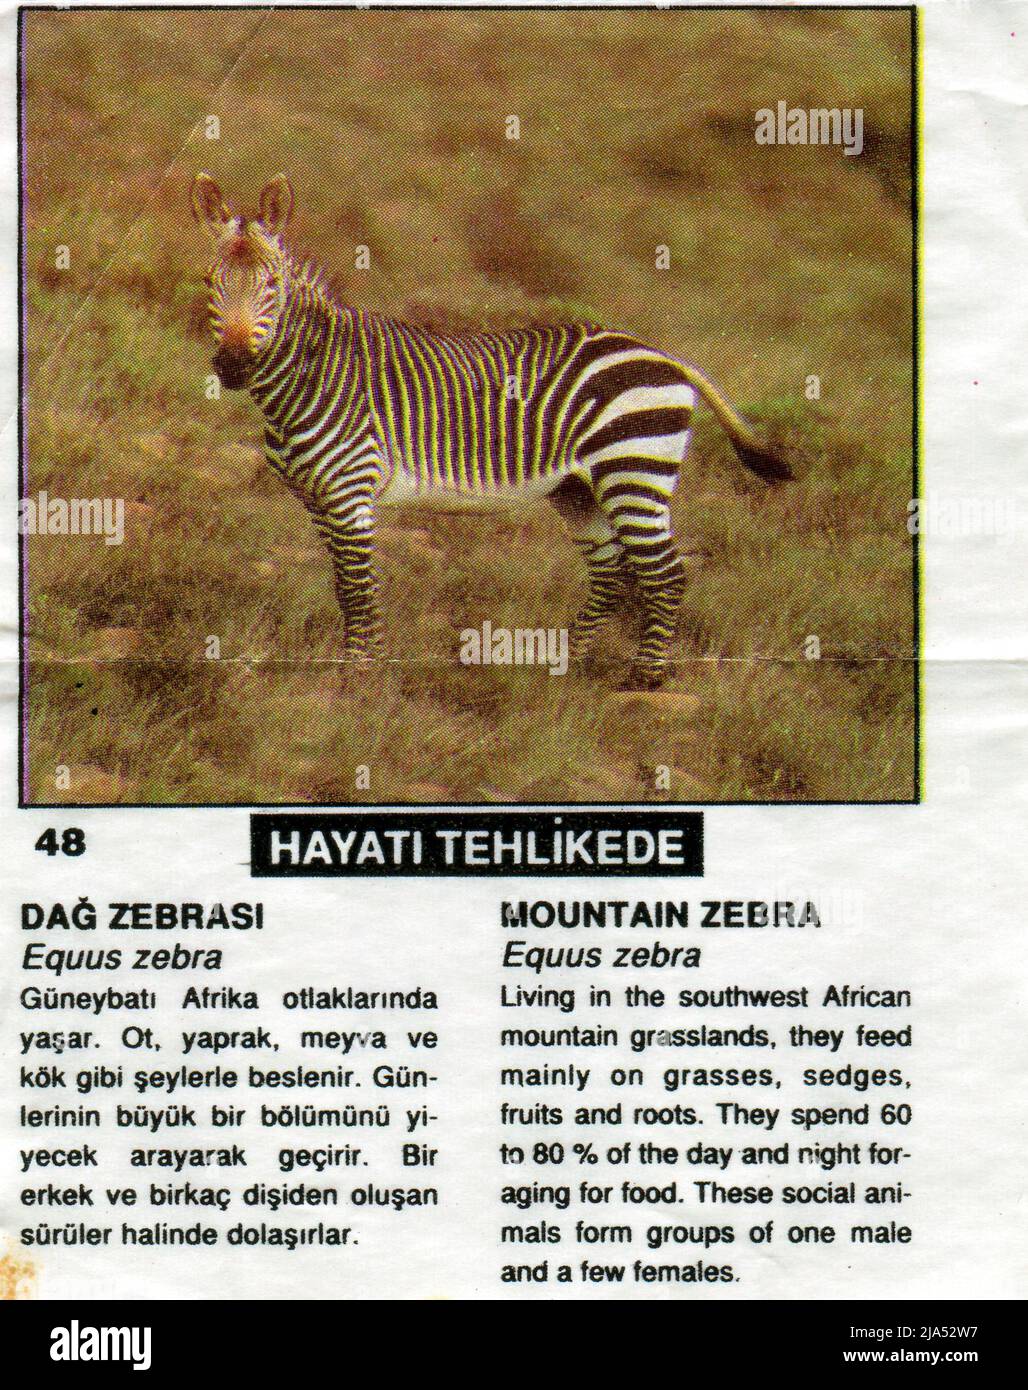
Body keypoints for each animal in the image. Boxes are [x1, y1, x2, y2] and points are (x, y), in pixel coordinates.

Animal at [190, 173, 792, 687]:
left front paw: (357, 677)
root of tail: (667, 356)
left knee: (665, 575)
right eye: (210, 282)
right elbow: (345, 586)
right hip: (580, 488)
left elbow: (357, 586)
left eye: (272, 285)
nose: (233, 366)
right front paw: (361, 666)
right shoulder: (318, 500)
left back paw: (643, 679)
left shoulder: (349, 489)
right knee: (612, 573)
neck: (312, 375)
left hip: (634, 472)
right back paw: (563, 665)